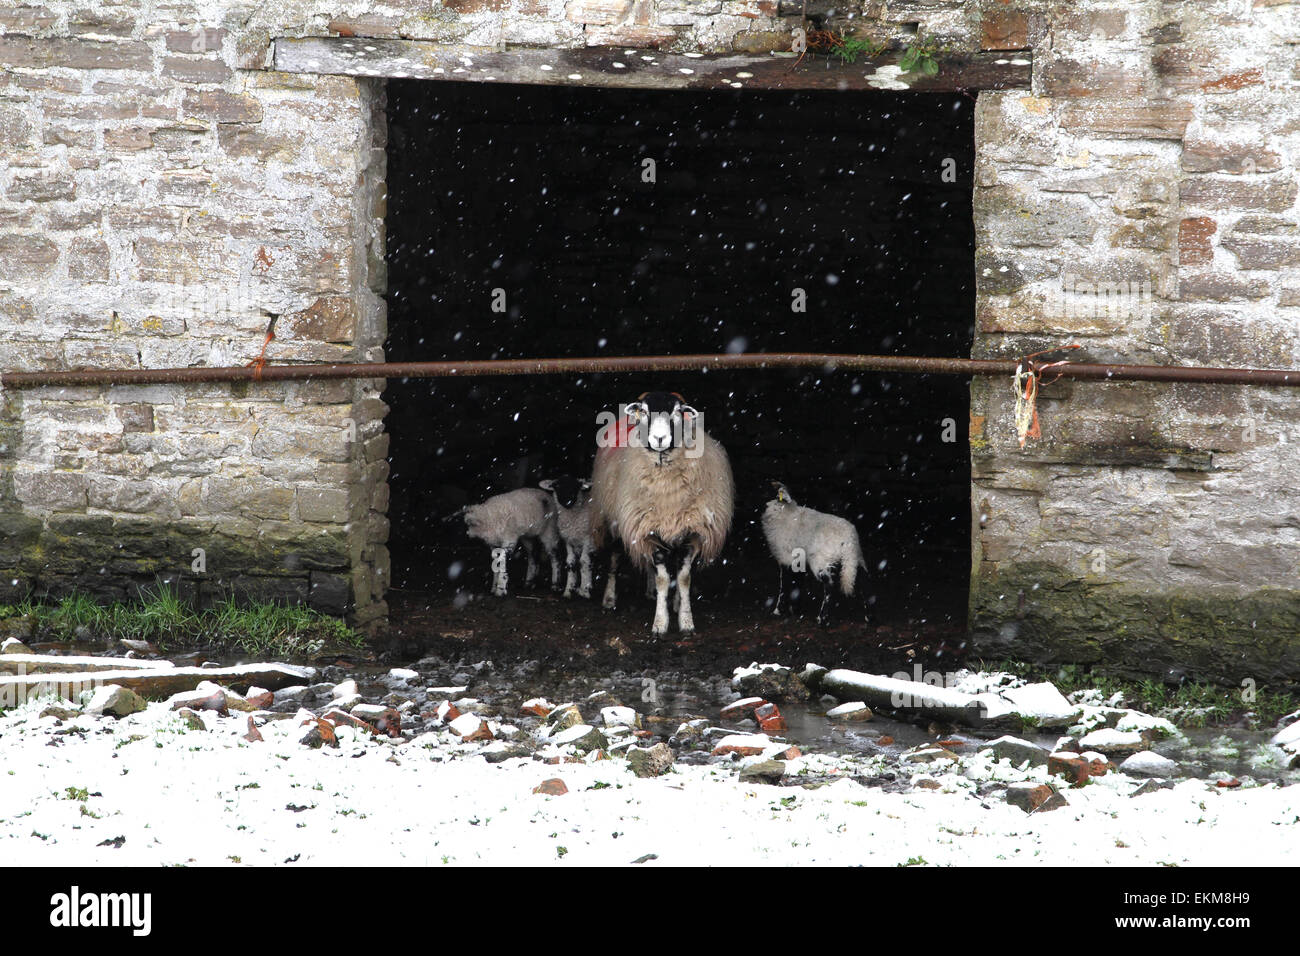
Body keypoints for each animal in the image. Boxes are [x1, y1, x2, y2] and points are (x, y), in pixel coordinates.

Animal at [590, 390, 734, 635]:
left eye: (677, 411)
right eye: (644, 411)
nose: (659, 438)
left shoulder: (690, 530)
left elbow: (683, 578)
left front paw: (686, 622)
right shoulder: (650, 530)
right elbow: (663, 580)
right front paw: (659, 624)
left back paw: (672, 601)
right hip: (614, 520)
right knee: (614, 559)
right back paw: (609, 599)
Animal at [761, 481, 865, 625]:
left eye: (771, 489)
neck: (785, 513)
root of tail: (849, 539)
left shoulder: (785, 556)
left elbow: (784, 583)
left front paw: (778, 610)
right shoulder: (798, 559)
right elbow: (797, 582)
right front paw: (795, 609)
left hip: (821, 559)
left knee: (828, 584)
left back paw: (822, 619)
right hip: (854, 559)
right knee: (860, 582)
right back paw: (869, 618)